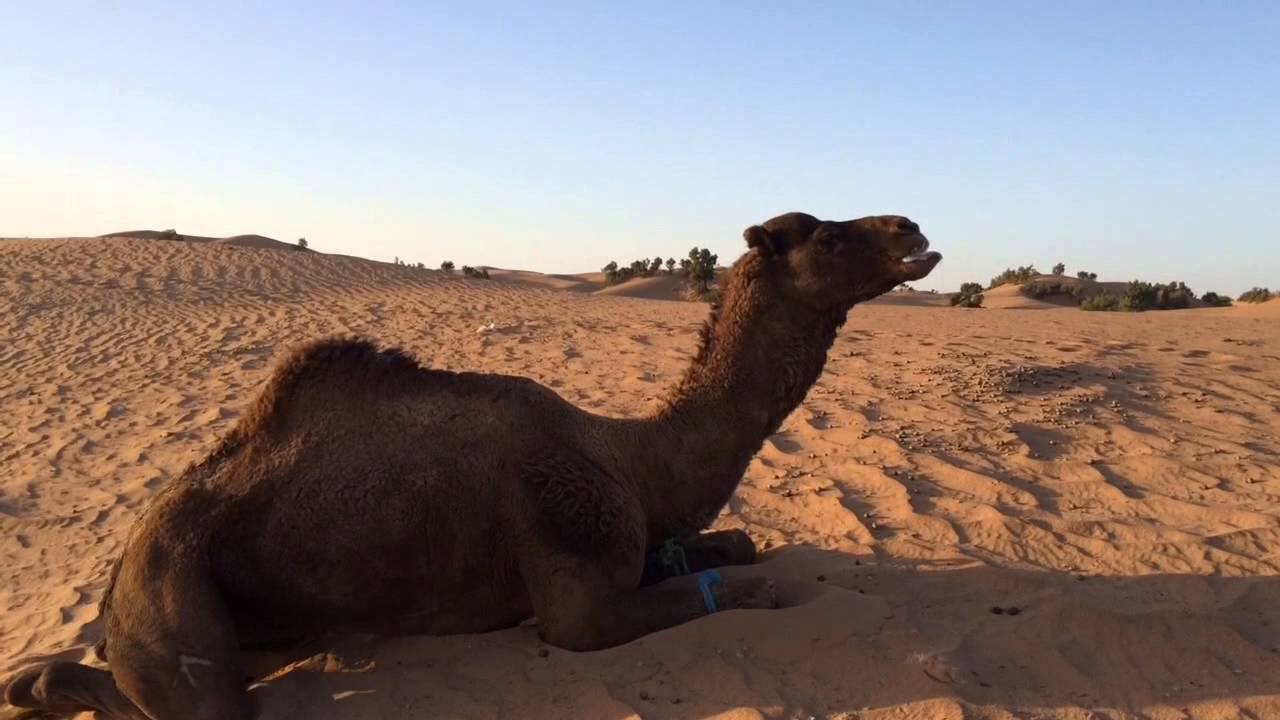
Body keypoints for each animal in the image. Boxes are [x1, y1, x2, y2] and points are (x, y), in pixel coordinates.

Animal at [2, 211, 942, 720]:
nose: (912, 229)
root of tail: (123, 557)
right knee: (201, 700)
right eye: (824, 234)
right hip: (174, 590)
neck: (630, 456)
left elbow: (731, 548)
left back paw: (32, 678)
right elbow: (736, 589)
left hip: (267, 620)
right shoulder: (575, 596)